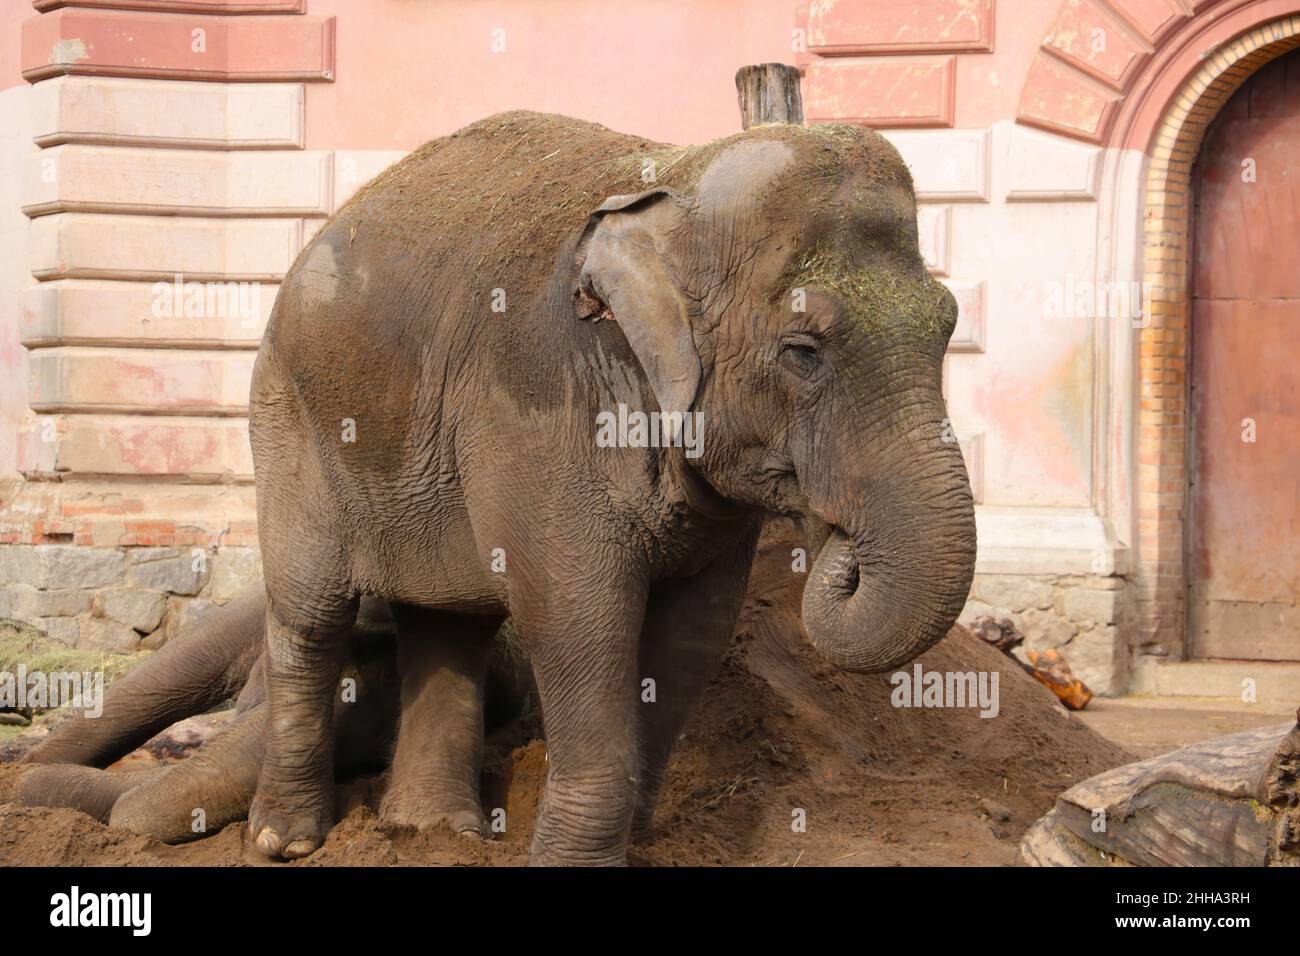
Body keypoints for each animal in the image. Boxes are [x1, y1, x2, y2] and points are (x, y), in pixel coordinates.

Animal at [27, 110, 977, 866]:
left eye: (950, 327)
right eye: (804, 351)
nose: (835, 539)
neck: (672, 179)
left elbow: (693, 638)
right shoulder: (539, 411)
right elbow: (576, 614)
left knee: (448, 621)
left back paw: (434, 832)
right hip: (287, 417)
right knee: (312, 614)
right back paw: (286, 841)